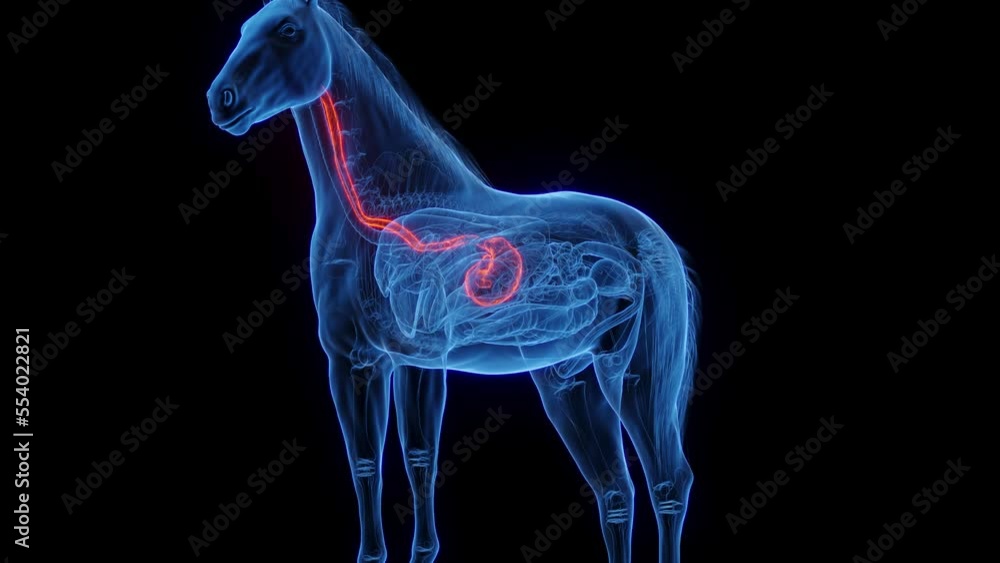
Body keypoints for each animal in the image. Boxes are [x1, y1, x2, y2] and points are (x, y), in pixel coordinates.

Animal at [207, 1, 700, 561]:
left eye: (288, 29)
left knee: (668, 482)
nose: (222, 100)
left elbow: (380, 461)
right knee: (615, 491)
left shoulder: (367, 360)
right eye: (243, 28)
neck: (381, 216)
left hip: (635, 374)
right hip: (573, 380)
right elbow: (408, 458)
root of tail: (658, 242)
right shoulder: (399, 361)